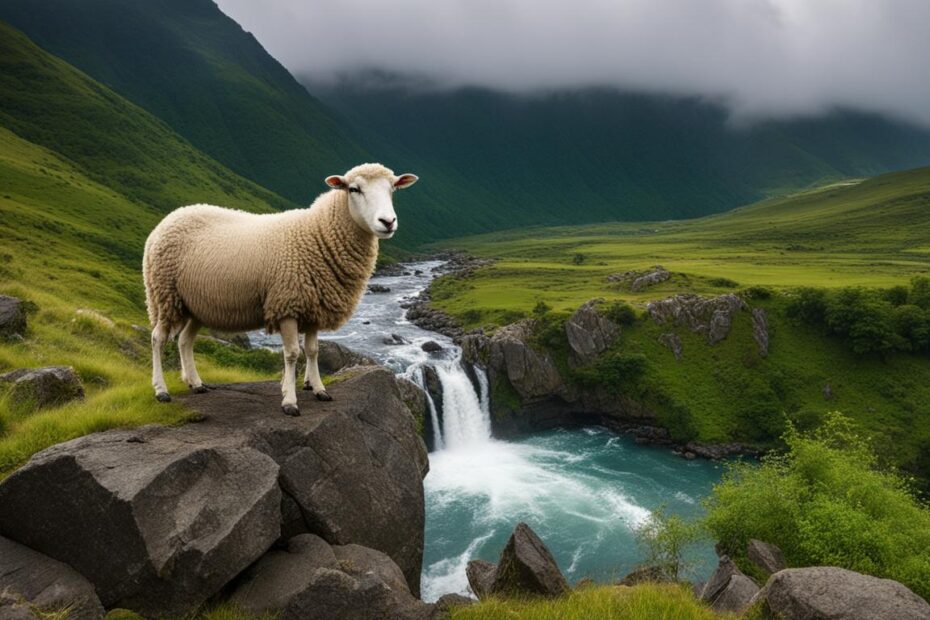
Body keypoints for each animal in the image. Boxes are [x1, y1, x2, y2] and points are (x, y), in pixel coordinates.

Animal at [143, 163, 418, 416]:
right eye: (354, 189)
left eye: (393, 188)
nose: (388, 222)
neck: (319, 235)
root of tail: (169, 219)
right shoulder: (287, 304)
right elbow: (292, 354)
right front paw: (289, 400)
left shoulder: (314, 305)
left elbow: (313, 351)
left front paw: (319, 389)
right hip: (164, 293)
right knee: (158, 338)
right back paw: (161, 390)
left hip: (195, 304)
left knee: (185, 341)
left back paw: (195, 383)